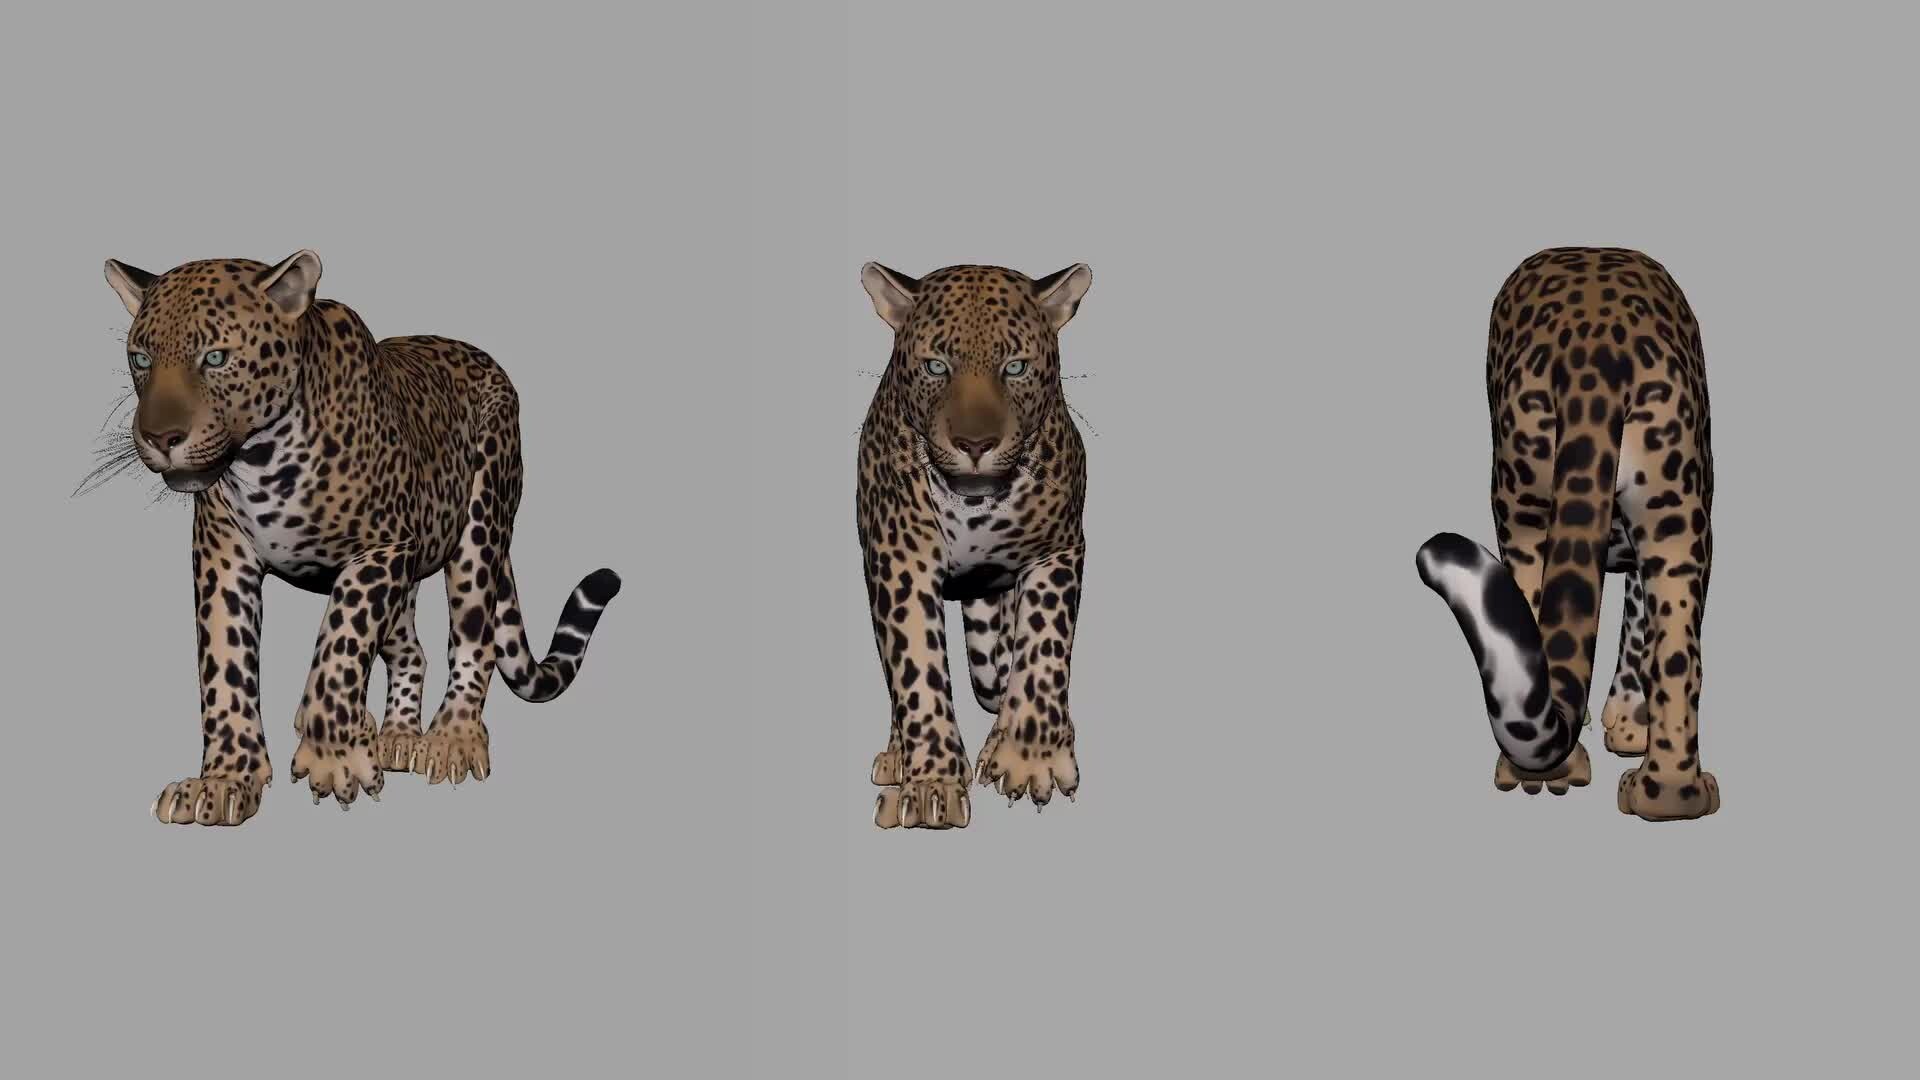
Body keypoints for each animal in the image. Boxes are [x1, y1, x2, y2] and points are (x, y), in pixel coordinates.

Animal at [100, 250, 622, 826]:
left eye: (215, 357)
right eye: (141, 359)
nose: (160, 438)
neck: (261, 461)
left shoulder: (380, 549)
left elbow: (340, 641)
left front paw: (333, 759)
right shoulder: (223, 557)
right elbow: (225, 667)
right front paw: (225, 782)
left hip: (482, 521)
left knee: (472, 639)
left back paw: (450, 740)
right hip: (409, 579)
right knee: (412, 651)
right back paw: (394, 736)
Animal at [855, 262, 1093, 830]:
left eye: (1016, 367)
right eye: (937, 366)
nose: (976, 445)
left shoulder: (1057, 549)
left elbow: (1043, 645)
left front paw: (1030, 759)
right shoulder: (900, 558)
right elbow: (916, 667)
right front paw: (932, 786)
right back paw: (898, 758)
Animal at [1416, 247, 1719, 822]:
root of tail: (1595, 348)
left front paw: (1625, 723)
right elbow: (1642, 627)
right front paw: (1629, 722)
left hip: (1527, 505)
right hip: (1671, 511)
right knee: (1675, 654)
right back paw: (1668, 795)